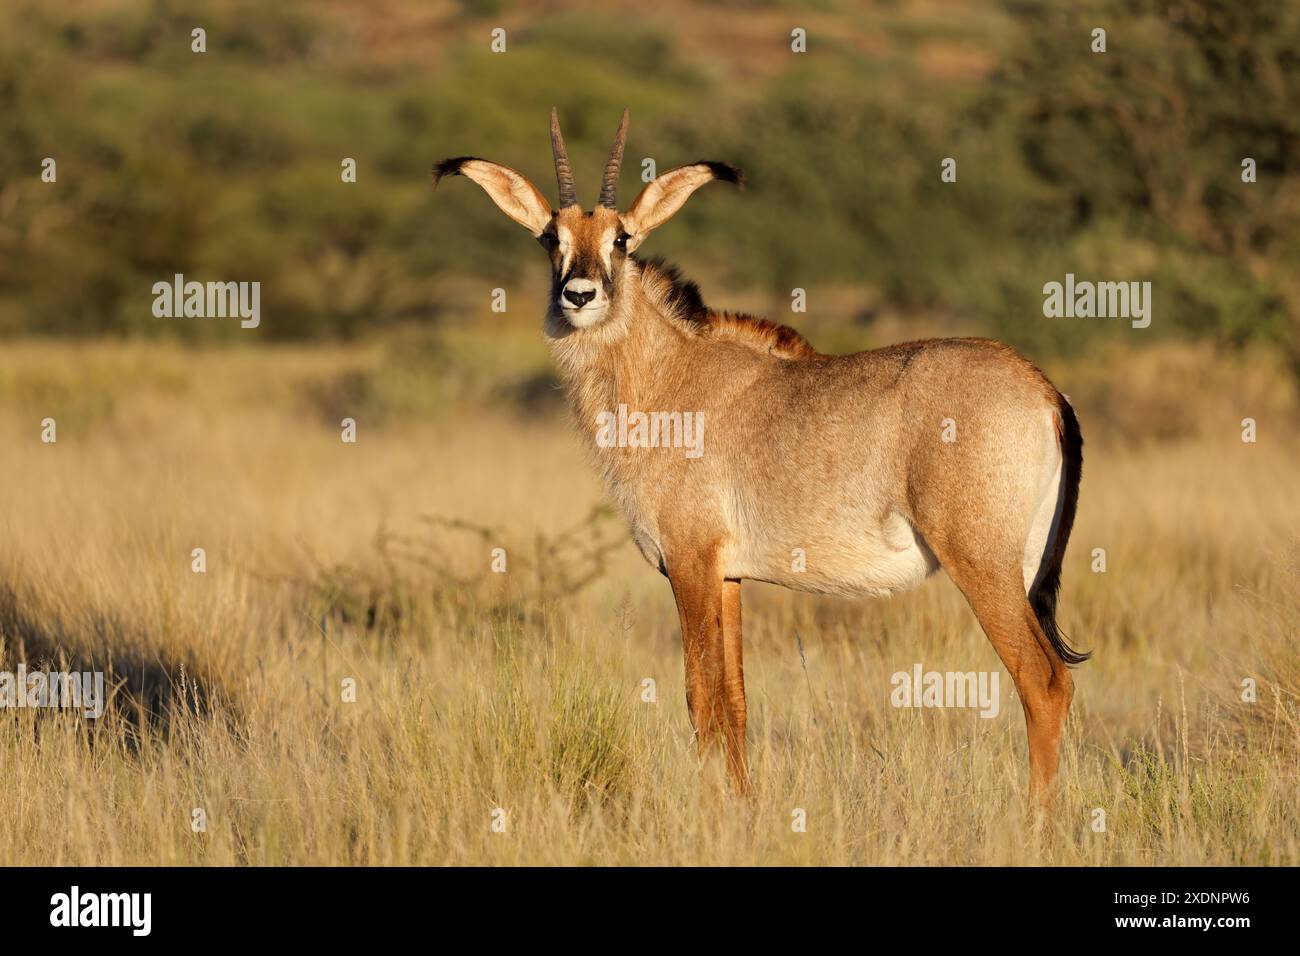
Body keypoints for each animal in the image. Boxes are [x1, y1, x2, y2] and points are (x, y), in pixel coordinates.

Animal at [434, 109, 1088, 806]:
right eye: (549, 238)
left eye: (622, 239)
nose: (578, 296)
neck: (669, 379)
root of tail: (1045, 392)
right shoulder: (728, 576)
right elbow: (737, 701)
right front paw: (744, 808)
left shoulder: (689, 563)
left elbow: (700, 699)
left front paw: (710, 811)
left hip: (981, 564)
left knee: (1043, 682)